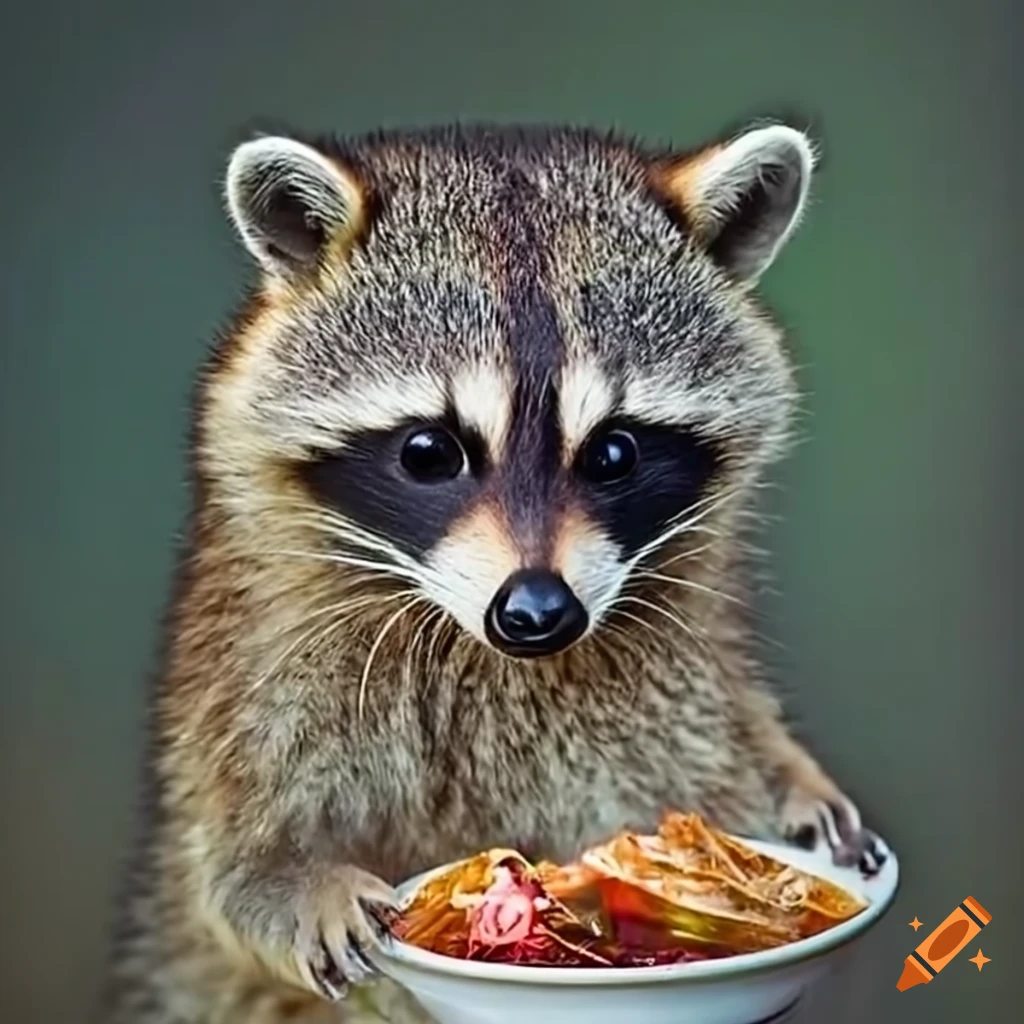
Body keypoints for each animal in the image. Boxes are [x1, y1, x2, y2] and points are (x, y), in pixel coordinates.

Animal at [100, 121, 886, 1023]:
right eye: (429, 452)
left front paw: (786, 778)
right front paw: (292, 880)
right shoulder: (253, 663)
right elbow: (230, 863)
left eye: (615, 452)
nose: (539, 612)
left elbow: (720, 741)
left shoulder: (687, 663)